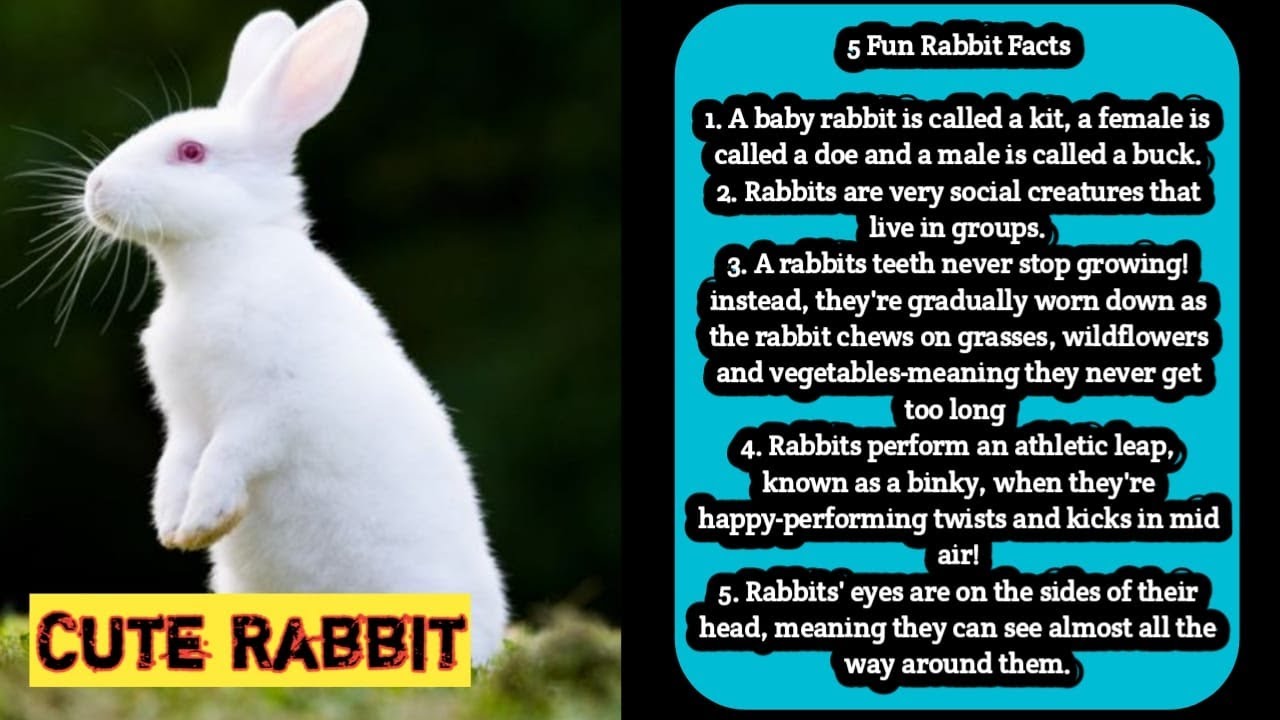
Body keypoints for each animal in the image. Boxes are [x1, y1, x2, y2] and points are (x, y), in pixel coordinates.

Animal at [80, 0, 509, 664]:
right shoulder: (185, 420)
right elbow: (176, 465)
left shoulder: (267, 409)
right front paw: (173, 527)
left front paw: (202, 521)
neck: (219, 264)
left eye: (191, 152)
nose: (95, 188)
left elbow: (227, 456)